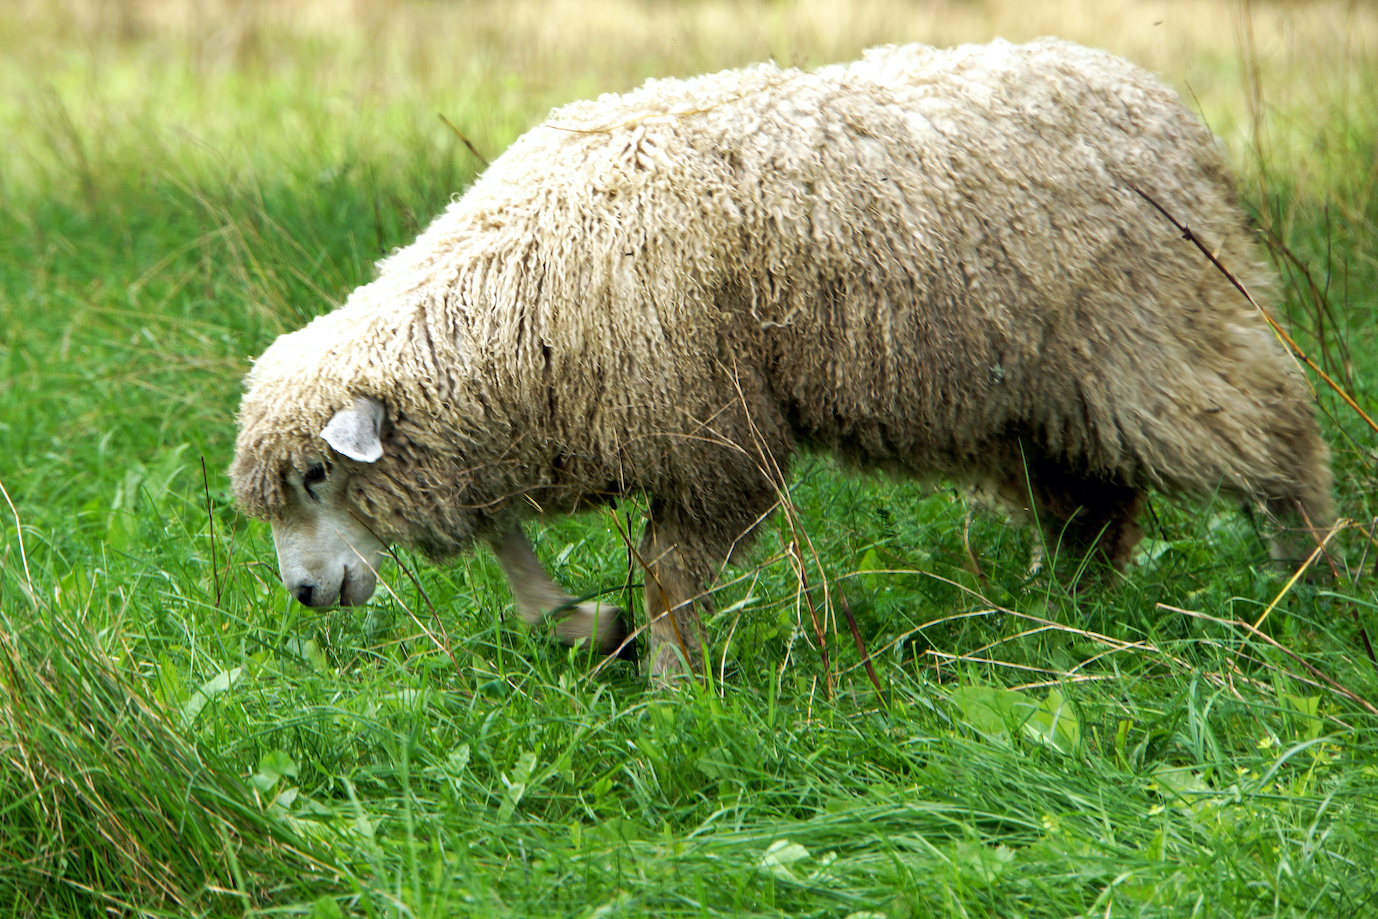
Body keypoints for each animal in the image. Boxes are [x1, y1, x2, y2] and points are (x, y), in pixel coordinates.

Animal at [231, 38, 1333, 679]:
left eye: (318, 473)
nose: (304, 595)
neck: (512, 283)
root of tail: (1160, 101)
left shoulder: (711, 430)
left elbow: (670, 572)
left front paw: (672, 684)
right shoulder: (524, 429)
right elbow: (513, 543)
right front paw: (583, 624)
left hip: (1158, 333)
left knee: (1274, 438)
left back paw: (1310, 579)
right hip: (1027, 390)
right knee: (1090, 502)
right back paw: (1061, 614)